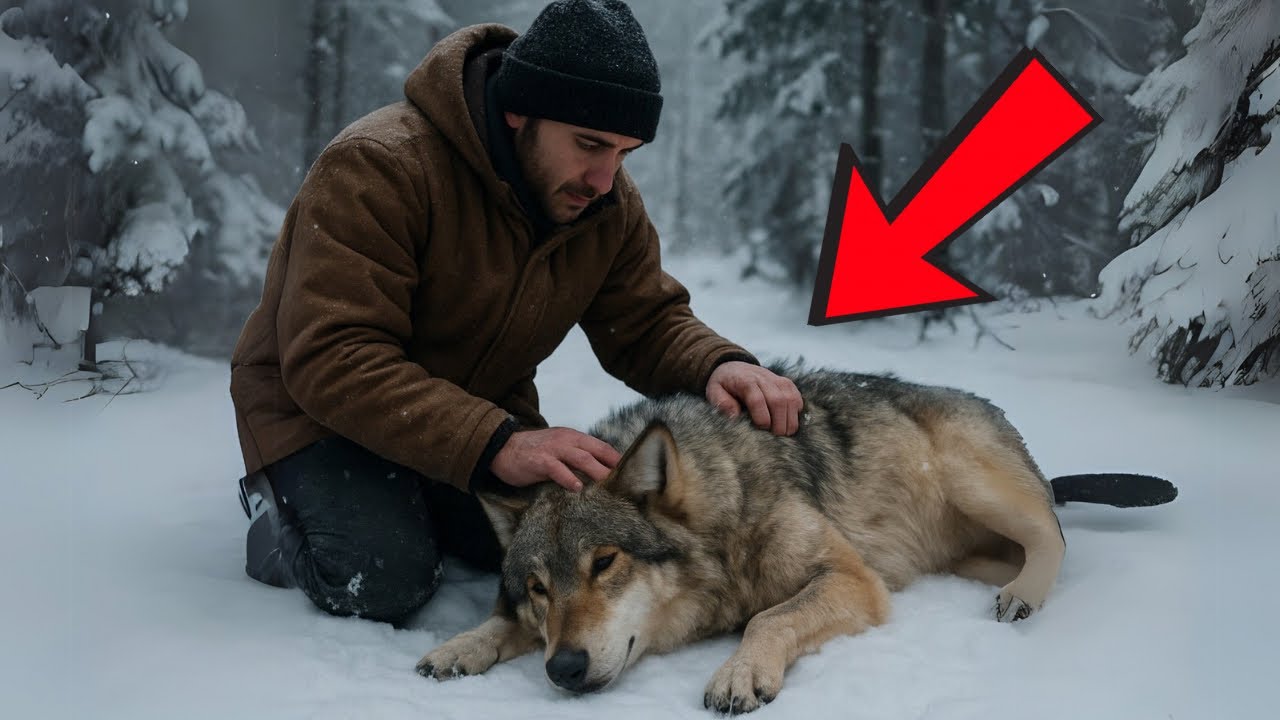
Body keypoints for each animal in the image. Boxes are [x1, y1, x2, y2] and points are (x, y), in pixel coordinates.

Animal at [415, 364, 1175, 714]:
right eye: (539, 589)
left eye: (605, 563)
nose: (564, 671)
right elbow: (502, 626)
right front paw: (461, 646)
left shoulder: (850, 579)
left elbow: (771, 618)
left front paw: (739, 672)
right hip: (965, 554)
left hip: (971, 480)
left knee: (1054, 536)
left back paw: (1024, 595)